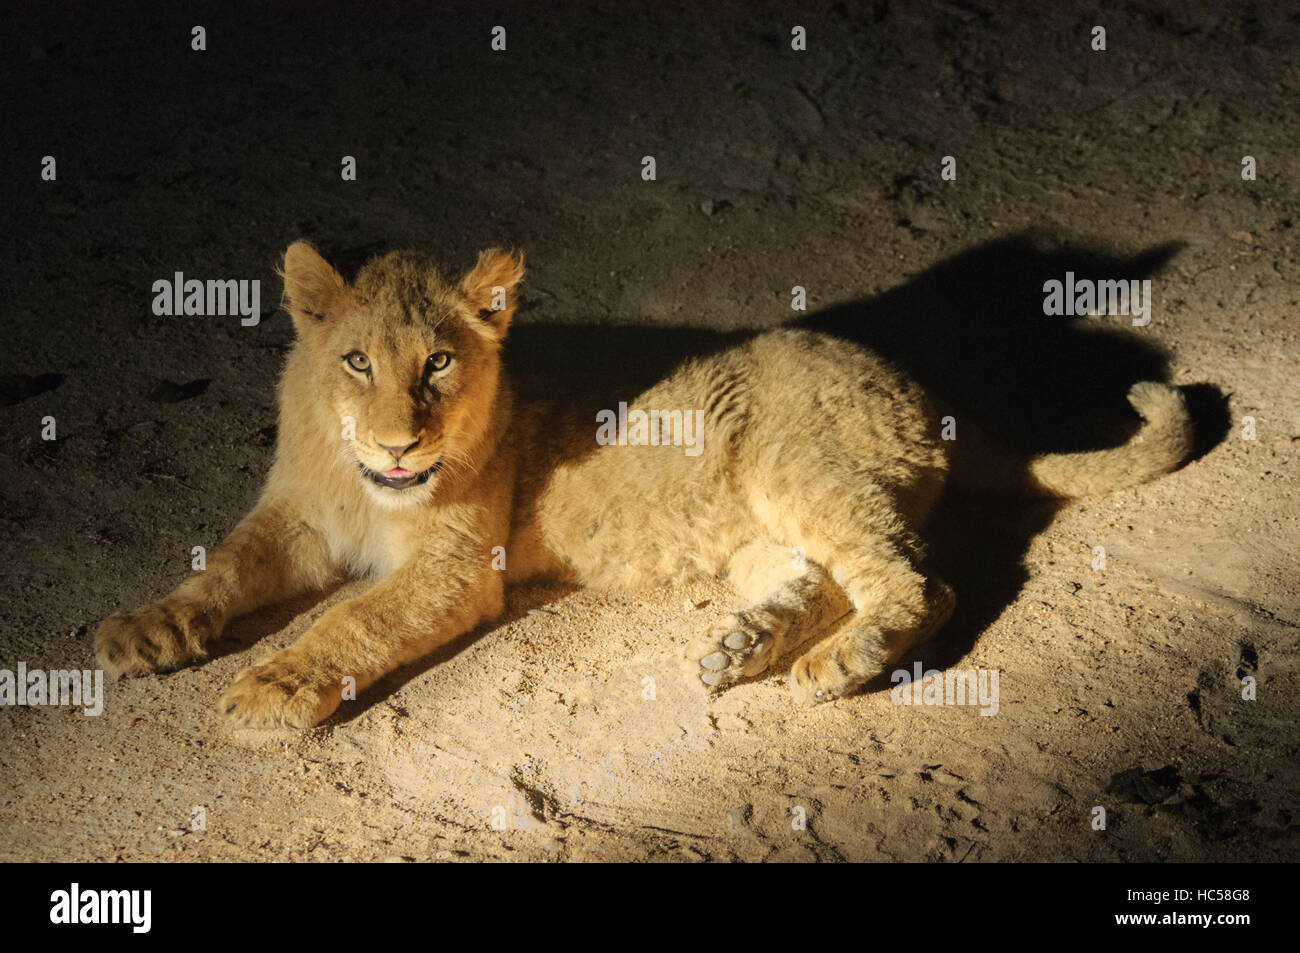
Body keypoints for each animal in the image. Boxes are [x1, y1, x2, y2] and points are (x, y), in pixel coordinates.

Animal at [93, 243, 1194, 727]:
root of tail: (927, 392)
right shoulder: (296, 521)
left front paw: (275, 685)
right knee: (829, 573)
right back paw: (749, 643)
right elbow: (222, 568)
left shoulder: (457, 565)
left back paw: (837, 664)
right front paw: (144, 629)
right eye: (357, 361)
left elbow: (351, 619)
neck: (368, 483)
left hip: (791, 461)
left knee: (925, 580)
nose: (403, 447)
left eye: (440, 363)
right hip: (765, 527)